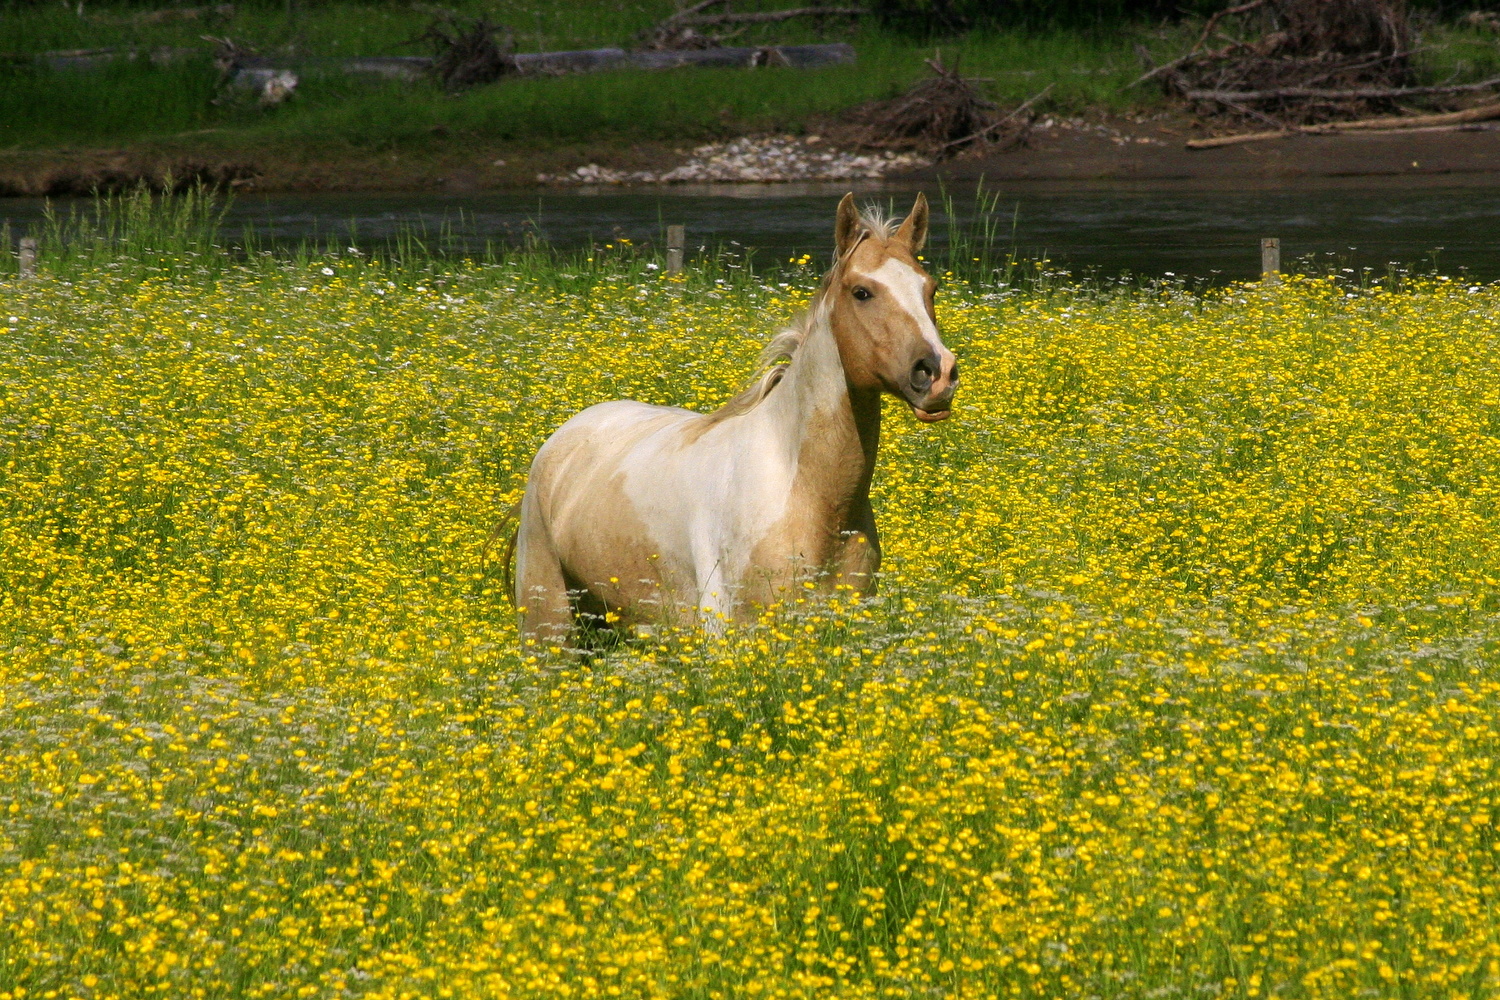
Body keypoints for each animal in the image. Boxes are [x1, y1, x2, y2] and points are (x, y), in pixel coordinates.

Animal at [510, 192, 957, 647]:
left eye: (931, 288)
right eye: (862, 292)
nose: (937, 374)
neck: (812, 502)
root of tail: (567, 434)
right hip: (550, 622)